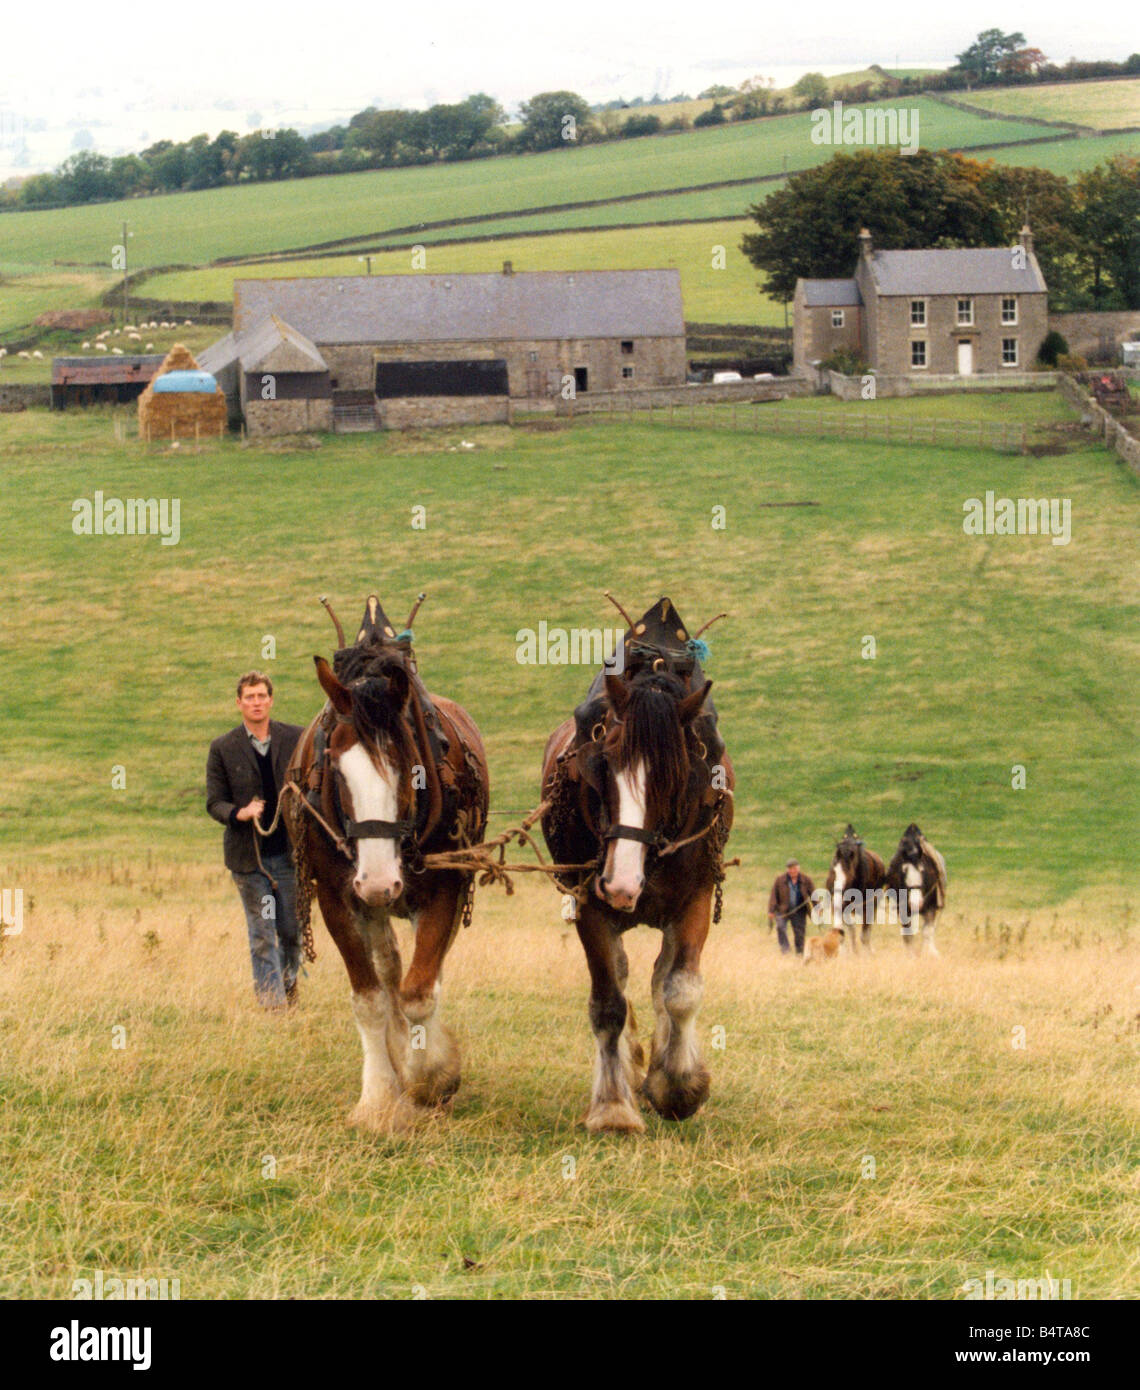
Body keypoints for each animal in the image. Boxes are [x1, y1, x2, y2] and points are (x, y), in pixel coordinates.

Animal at [285, 595, 488, 1133]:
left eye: (411, 768)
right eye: (335, 769)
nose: (379, 882)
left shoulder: (443, 887)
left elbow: (419, 990)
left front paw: (431, 1075)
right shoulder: (339, 899)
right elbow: (372, 997)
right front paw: (378, 1097)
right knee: (388, 965)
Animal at [540, 597, 734, 1133]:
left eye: (677, 775)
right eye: (601, 764)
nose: (622, 885)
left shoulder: (695, 897)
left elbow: (680, 989)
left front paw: (679, 1086)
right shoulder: (589, 902)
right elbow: (609, 1002)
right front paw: (612, 1107)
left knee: (660, 977)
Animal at [885, 823, 947, 957]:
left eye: (922, 870)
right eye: (903, 872)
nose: (916, 903)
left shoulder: (931, 907)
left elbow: (927, 931)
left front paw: (928, 953)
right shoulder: (903, 908)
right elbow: (908, 934)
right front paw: (911, 955)